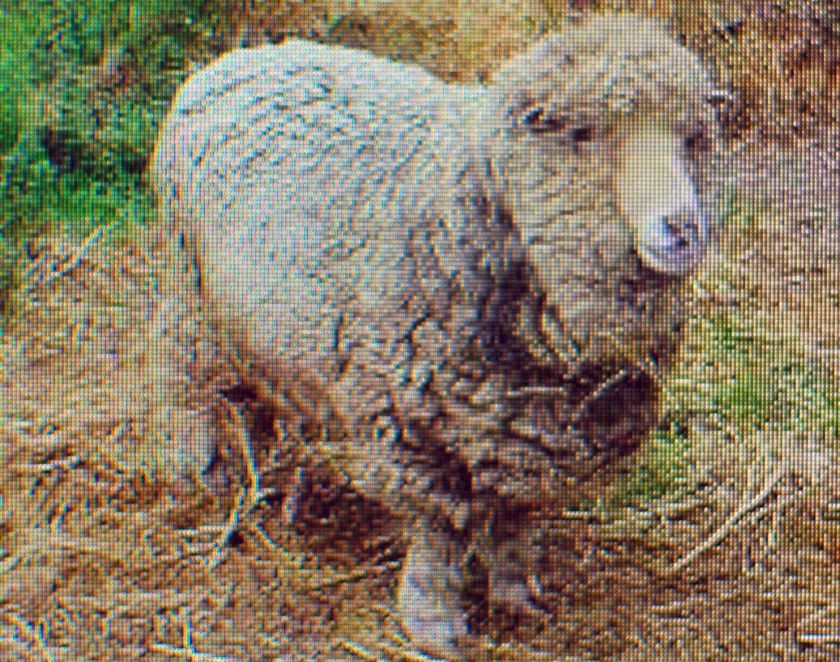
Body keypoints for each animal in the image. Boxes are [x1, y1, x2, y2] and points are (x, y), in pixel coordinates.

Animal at [151, 14, 721, 656]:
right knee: (182, 381)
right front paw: (433, 625)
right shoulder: (413, 420)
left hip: (256, 325)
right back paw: (201, 475)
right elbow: (440, 530)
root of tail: (238, 61)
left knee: (249, 400)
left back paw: (263, 479)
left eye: (693, 138)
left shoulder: (521, 430)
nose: (682, 229)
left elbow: (512, 517)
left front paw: (517, 598)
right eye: (582, 134)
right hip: (191, 292)